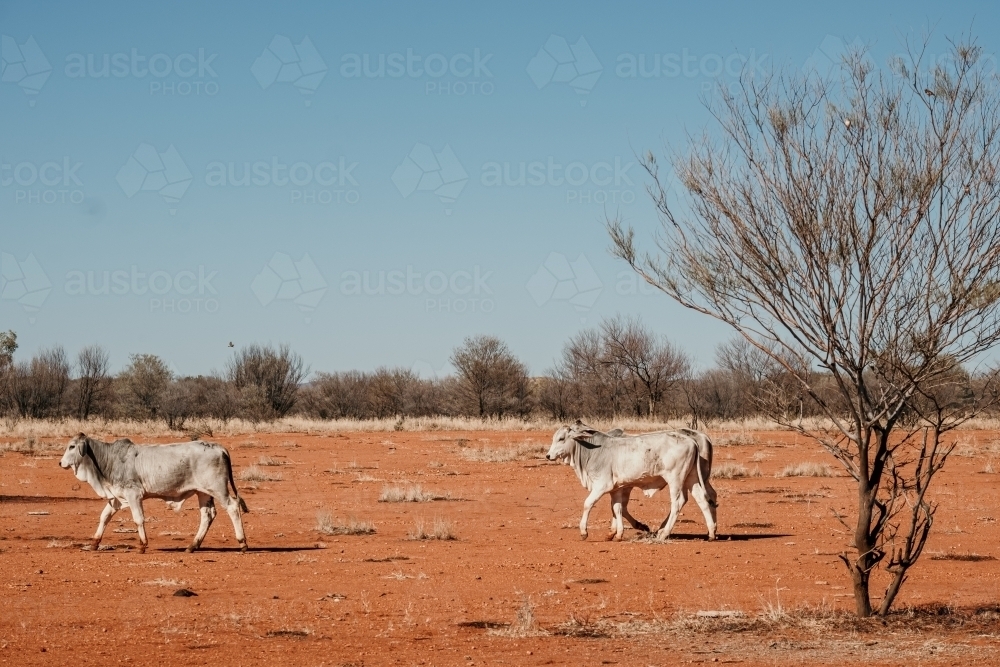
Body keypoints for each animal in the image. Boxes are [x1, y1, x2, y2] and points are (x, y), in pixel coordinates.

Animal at [59, 433, 249, 553]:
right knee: (207, 515)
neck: (109, 459)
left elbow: (138, 519)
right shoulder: (118, 498)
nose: (60, 463)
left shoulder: (133, 494)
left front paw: (143, 545)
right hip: (203, 493)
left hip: (218, 489)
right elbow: (104, 517)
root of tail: (219, 448)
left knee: (233, 507)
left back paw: (242, 543)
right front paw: (94, 543)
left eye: (72, 446)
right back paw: (192, 546)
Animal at [546, 421, 717, 542]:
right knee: (703, 499)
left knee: (678, 502)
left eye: (561, 438)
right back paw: (711, 533)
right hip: (692, 478)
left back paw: (663, 533)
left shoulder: (602, 486)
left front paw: (584, 532)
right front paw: (617, 534)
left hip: (676, 479)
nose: (548, 456)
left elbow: (588, 504)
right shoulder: (616, 489)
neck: (595, 450)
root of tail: (693, 441)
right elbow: (617, 508)